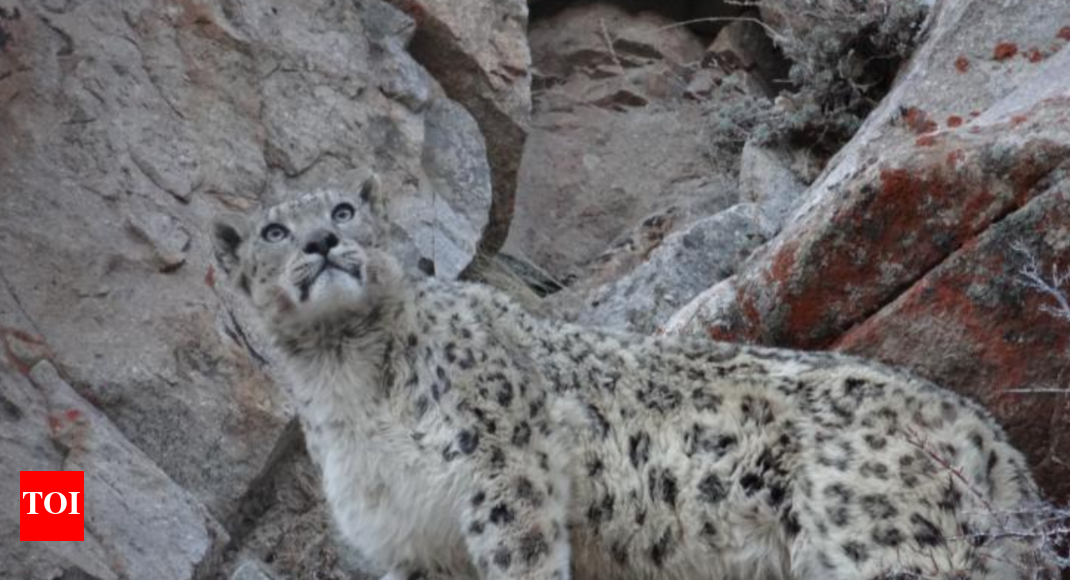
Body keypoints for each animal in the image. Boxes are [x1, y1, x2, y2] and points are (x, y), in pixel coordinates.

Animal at [211, 174, 1055, 580]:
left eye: (344, 210)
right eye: (273, 230)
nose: (321, 242)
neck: (348, 376)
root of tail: (984, 427)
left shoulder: (504, 472)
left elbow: (521, 556)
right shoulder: (412, 544)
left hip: (876, 531)